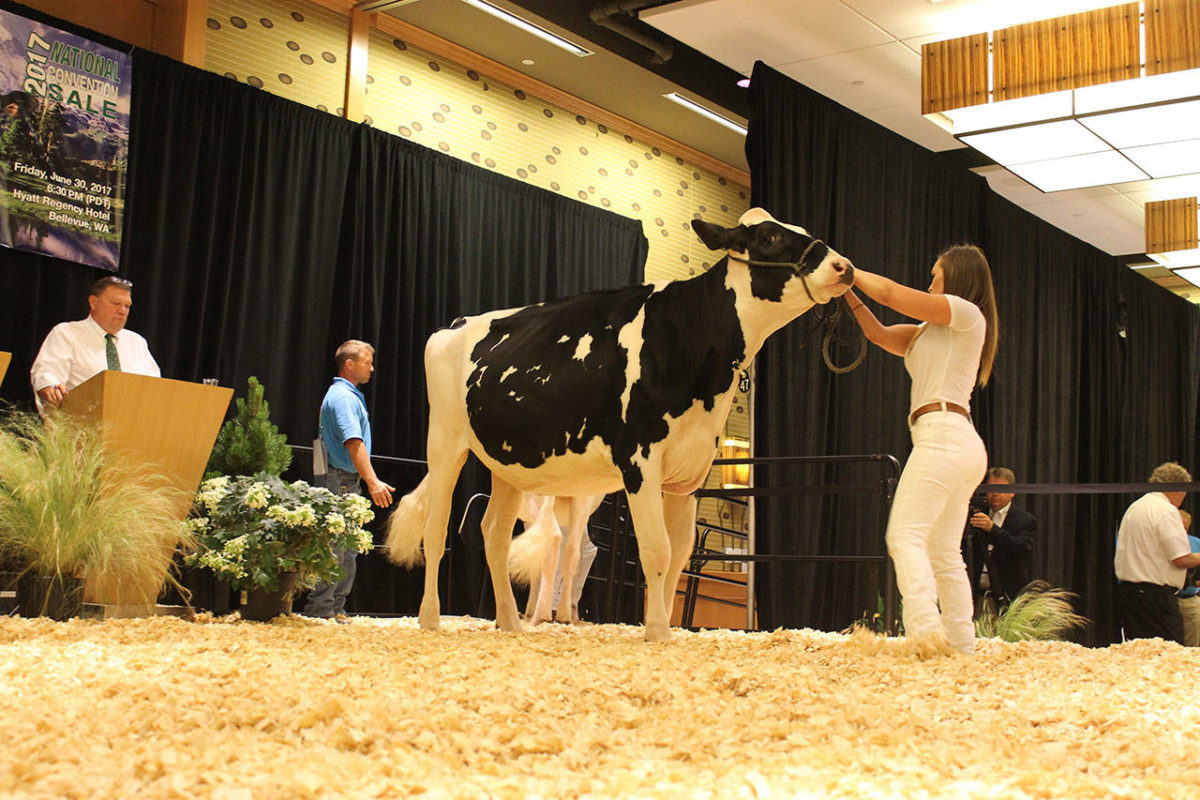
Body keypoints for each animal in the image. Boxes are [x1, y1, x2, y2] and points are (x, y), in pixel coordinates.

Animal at [386, 207, 854, 641]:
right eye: (770, 236)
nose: (844, 266)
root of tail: (456, 324)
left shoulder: (689, 474)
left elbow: (680, 554)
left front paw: (664, 628)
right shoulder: (640, 459)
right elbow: (657, 550)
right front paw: (657, 632)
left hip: (507, 463)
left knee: (494, 534)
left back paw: (510, 623)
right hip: (445, 441)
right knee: (436, 527)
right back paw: (430, 619)